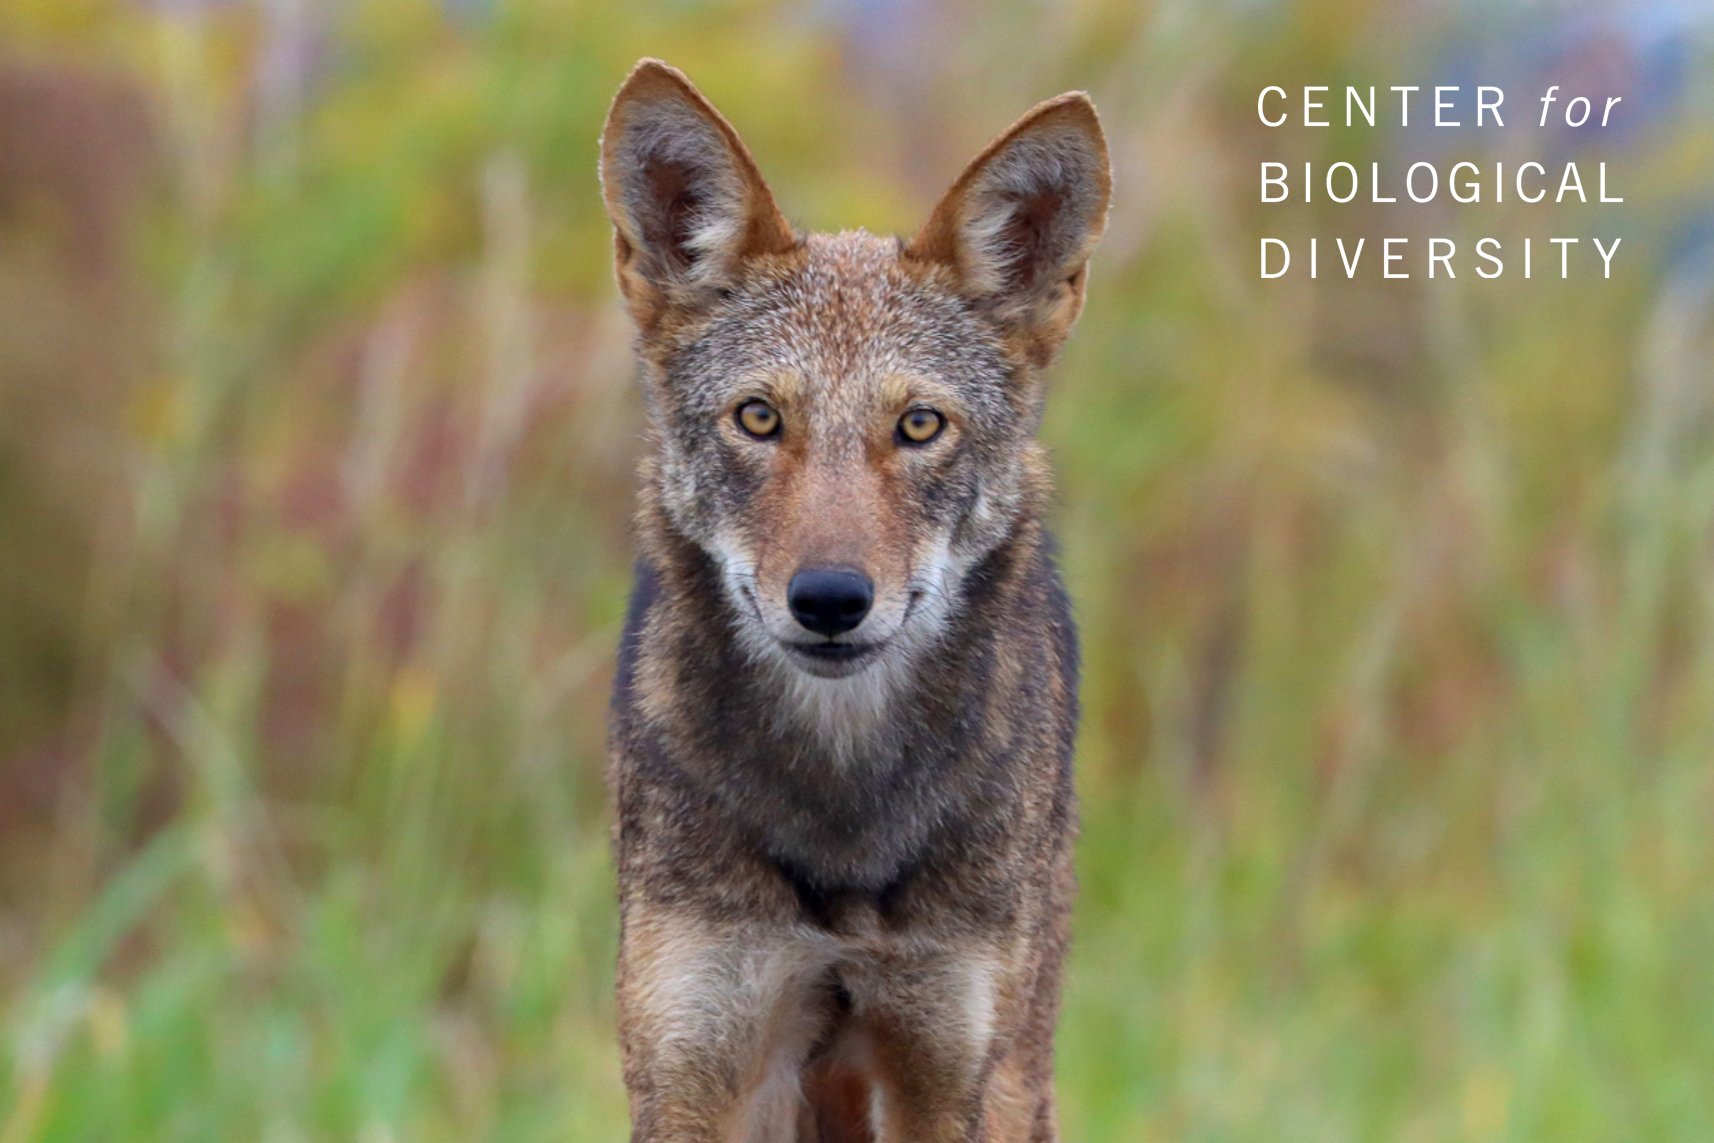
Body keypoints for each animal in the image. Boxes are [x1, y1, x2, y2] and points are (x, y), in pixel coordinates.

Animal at [601, 58, 1109, 1142]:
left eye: (918, 426)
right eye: (759, 418)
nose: (830, 600)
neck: (841, 812)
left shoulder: (948, 1077)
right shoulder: (690, 1064)